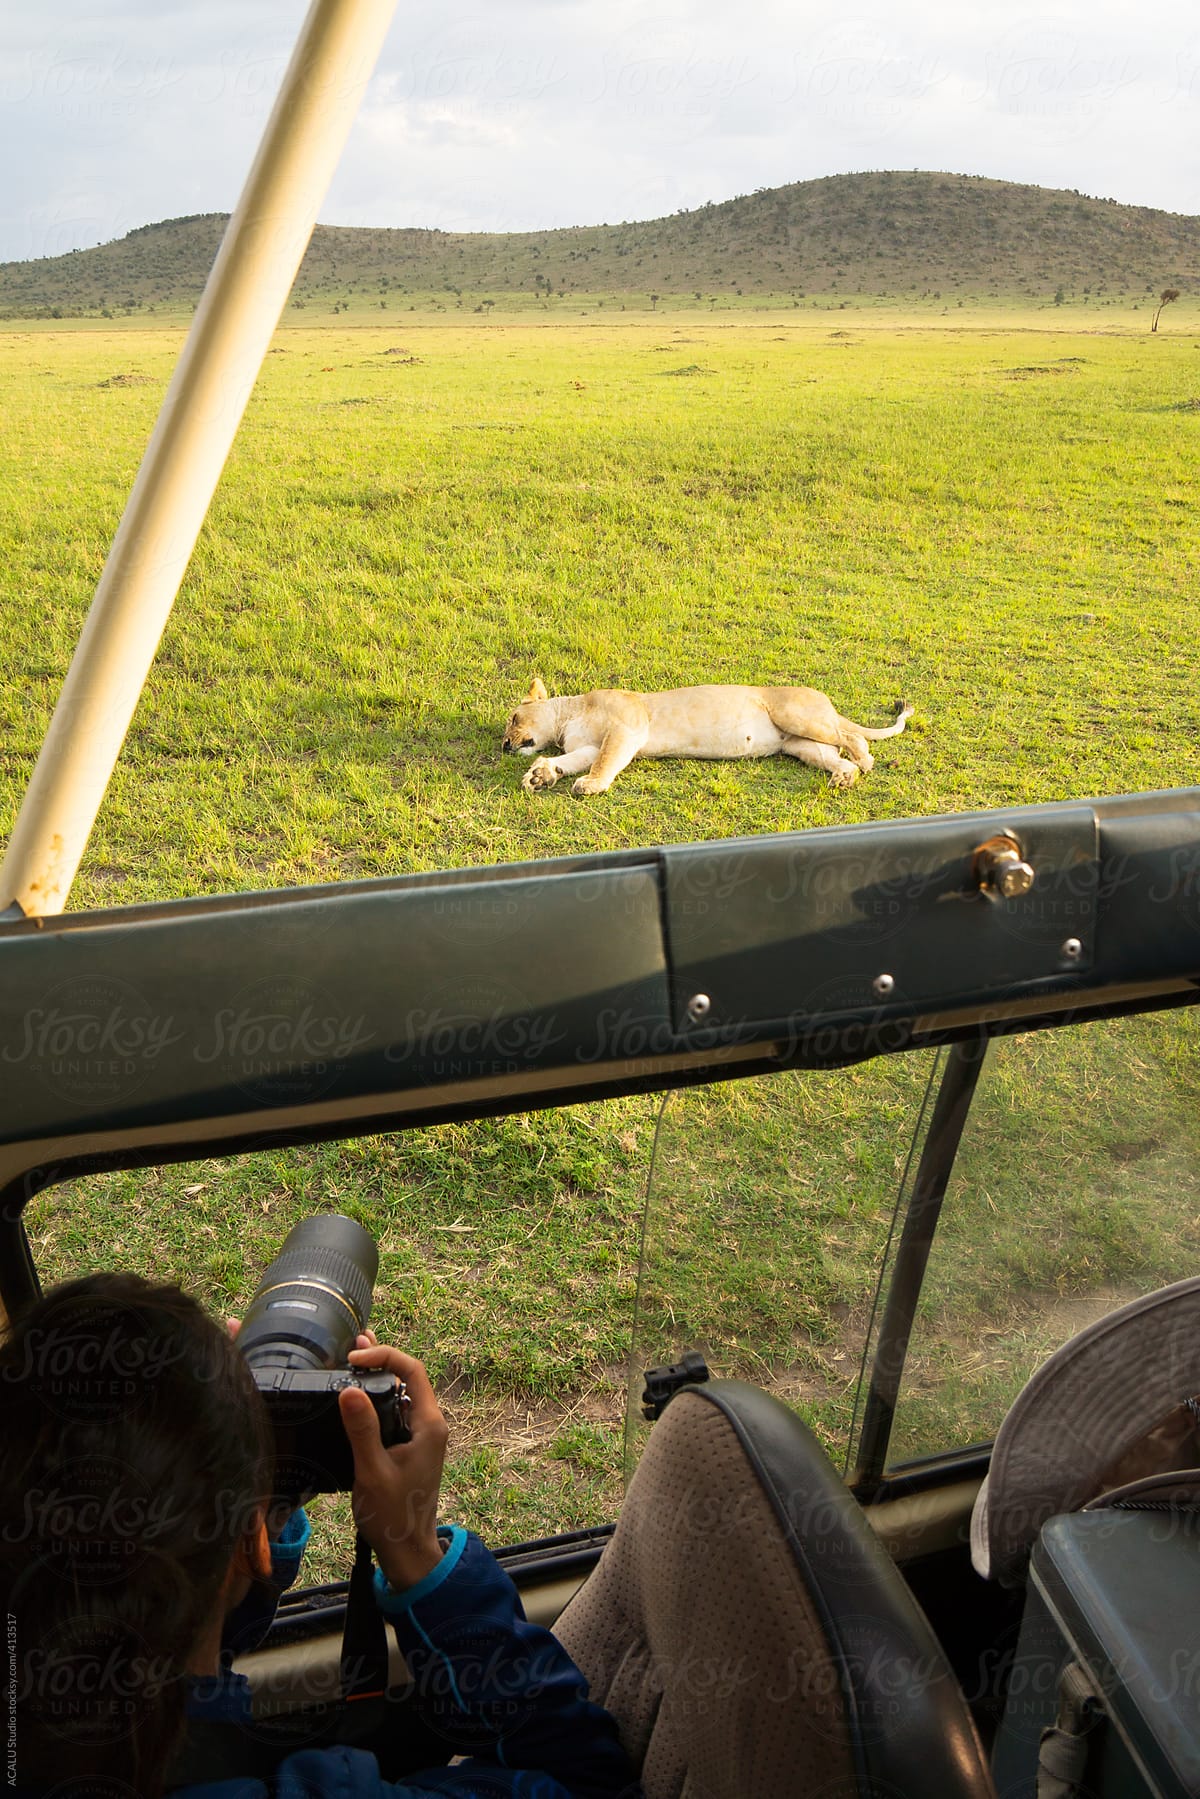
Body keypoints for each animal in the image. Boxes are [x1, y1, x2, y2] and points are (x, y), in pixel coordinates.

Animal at [502, 678, 914, 797]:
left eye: (513, 717)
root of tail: (823, 698)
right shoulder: (587, 745)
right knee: (832, 755)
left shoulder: (627, 726)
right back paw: (844, 776)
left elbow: (605, 760)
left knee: (850, 735)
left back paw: (863, 757)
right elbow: (571, 760)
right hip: (797, 743)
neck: (566, 718)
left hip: (798, 714)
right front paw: (541, 775)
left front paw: (591, 785)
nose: (505, 745)